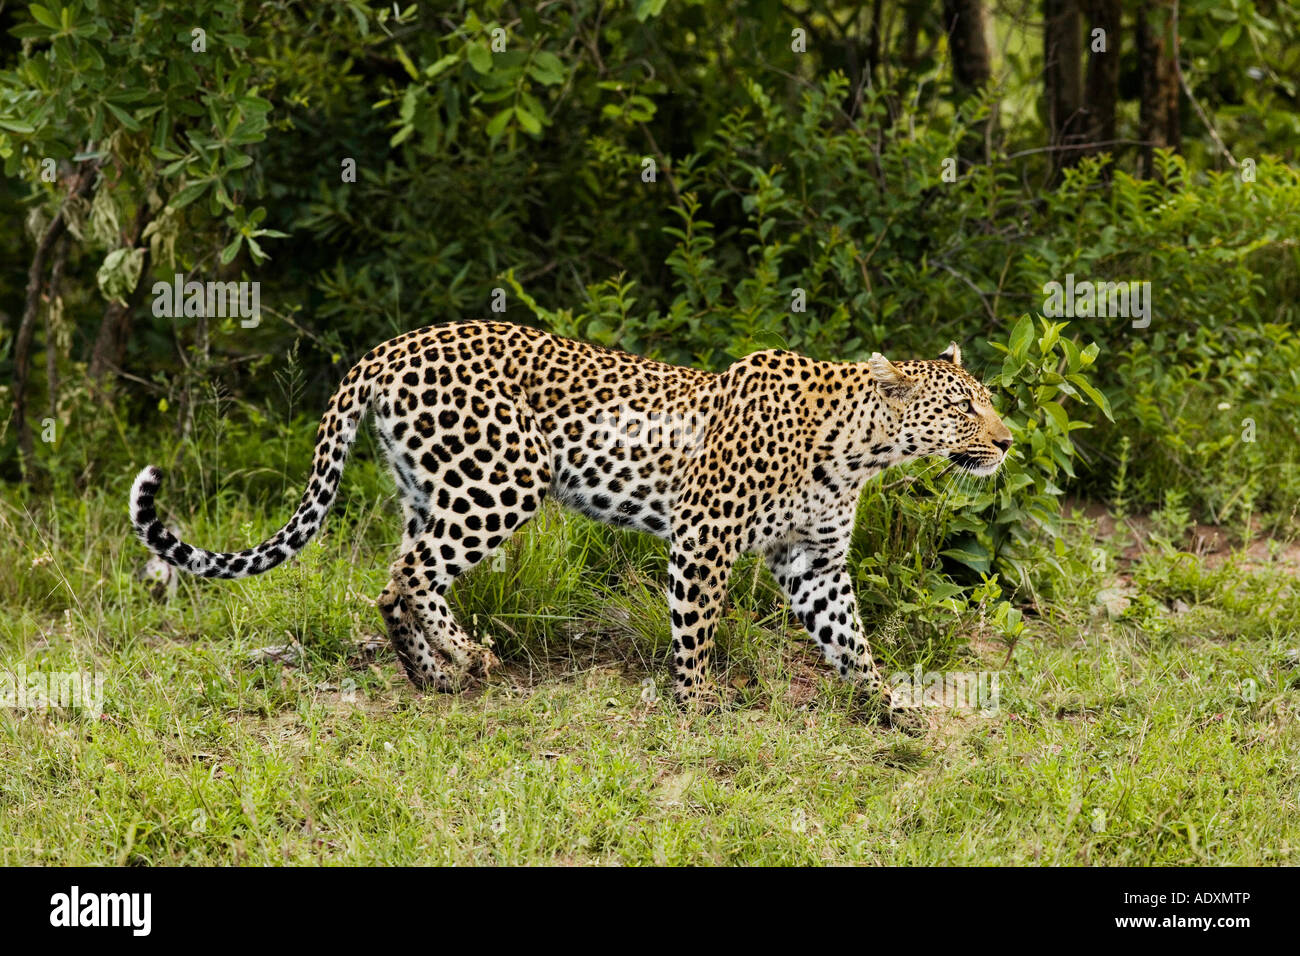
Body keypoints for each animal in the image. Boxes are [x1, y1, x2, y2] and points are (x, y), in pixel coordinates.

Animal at [129, 320, 1012, 728]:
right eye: (963, 406)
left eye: (988, 401)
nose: (1007, 441)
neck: (861, 450)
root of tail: (388, 347)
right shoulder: (703, 538)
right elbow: (697, 631)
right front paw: (696, 708)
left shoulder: (814, 562)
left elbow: (852, 641)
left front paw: (891, 709)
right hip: (501, 479)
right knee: (415, 572)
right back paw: (466, 655)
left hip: (432, 488)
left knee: (393, 578)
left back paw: (436, 675)